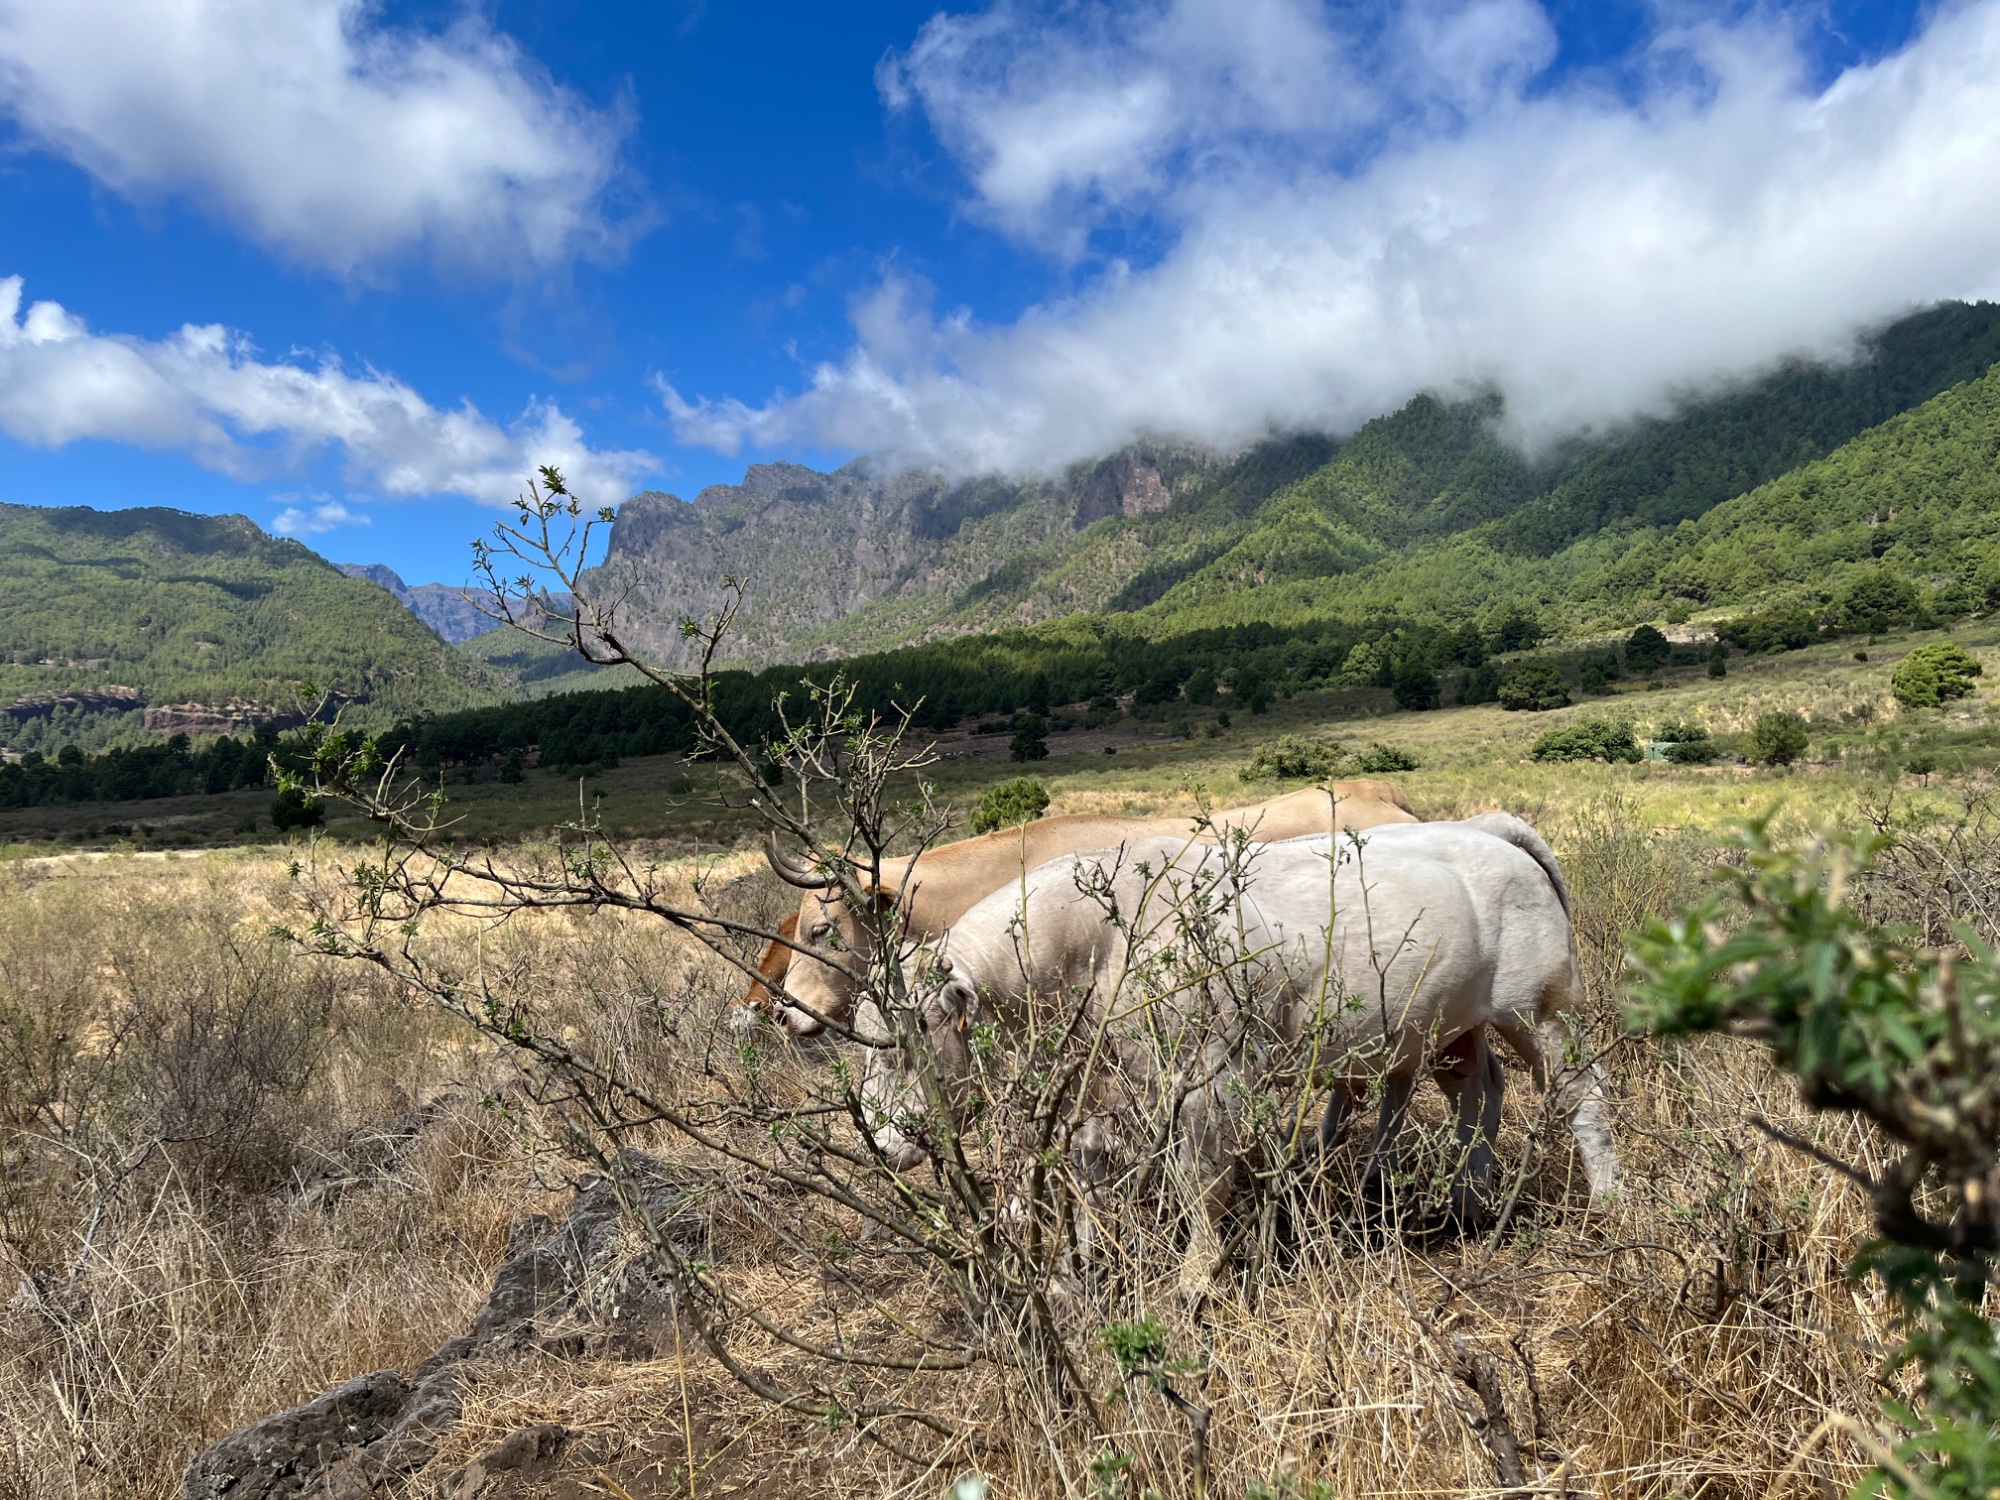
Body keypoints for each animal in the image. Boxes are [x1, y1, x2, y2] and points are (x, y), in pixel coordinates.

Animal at [855, 815, 1620, 1304]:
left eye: (901, 1045)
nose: (883, 1144)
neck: (1097, 940)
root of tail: (1488, 830)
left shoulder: (1207, 1080)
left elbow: (1199, 1180)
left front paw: (1196, 1277)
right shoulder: (1100, 1094)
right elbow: (1087, 1181)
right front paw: (1078, 1274)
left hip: (1543, 1013)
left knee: (1581, 1097)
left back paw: (1612, 1200)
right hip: (1452, 1027)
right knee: (1479, 1090)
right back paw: (1466, 1197)